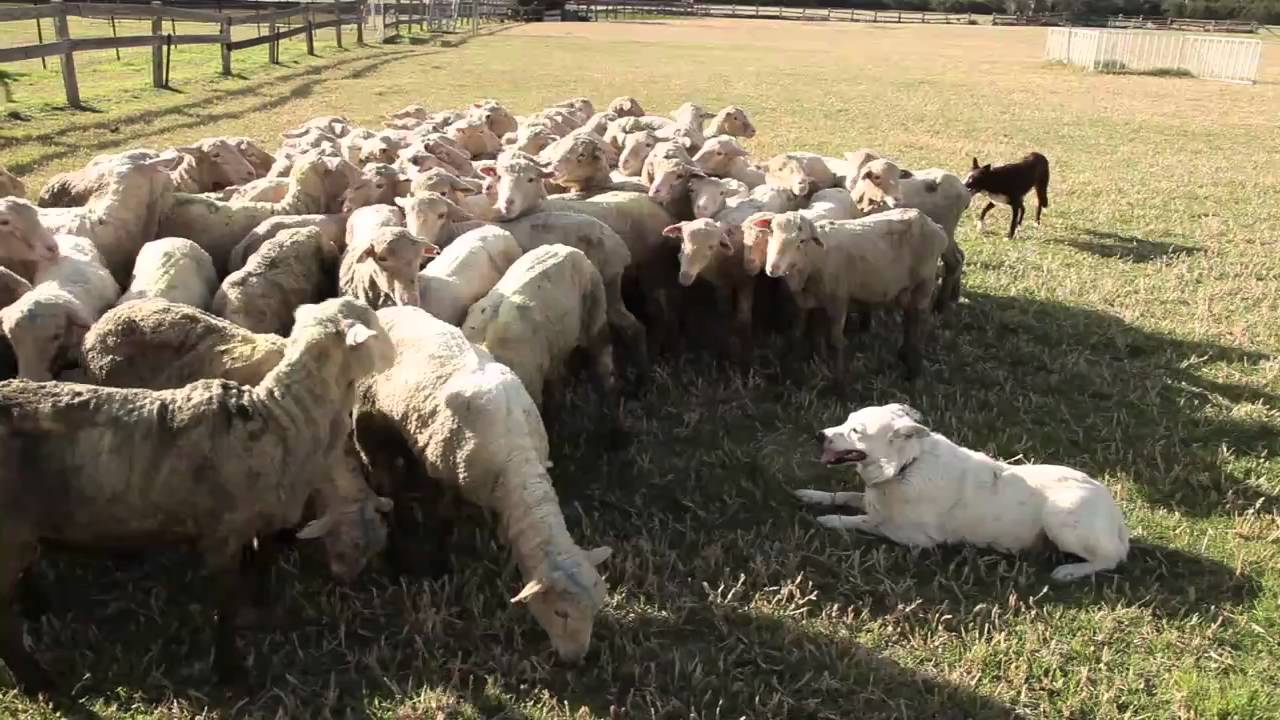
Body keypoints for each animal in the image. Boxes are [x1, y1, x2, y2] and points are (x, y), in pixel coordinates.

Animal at [0, 297, 395, 695]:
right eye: (376, 328)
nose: (393, 357)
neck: (281, 417)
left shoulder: (260, 518)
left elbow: (263, 558)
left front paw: (261, 601)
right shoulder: (221, 535)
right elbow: (226, 604)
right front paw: (229, 668)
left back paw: (36, 605)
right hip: (11, 536)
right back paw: (38, 680)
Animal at [353, 305, 612, 664]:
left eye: (596, 609)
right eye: (560, 612)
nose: (576, 661)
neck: (516, 460)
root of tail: (382, 310)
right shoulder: (449, 475)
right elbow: (445, 520)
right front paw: (440, 567)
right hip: (366, 421)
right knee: (382, 479)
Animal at [756, 208, 949, 377]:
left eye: (801, 241)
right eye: (771, 232)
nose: (772, 268)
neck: (812, 260)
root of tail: (934, 226)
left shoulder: (838, 299)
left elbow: (835, 341)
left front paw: (840, 385)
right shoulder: (811, 302)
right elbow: (808, 335)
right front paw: (814, 366)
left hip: (924, 283)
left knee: (921, 320)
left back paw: (914, 369)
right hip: (905, 289)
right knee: (910, 317)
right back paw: (905, 355)